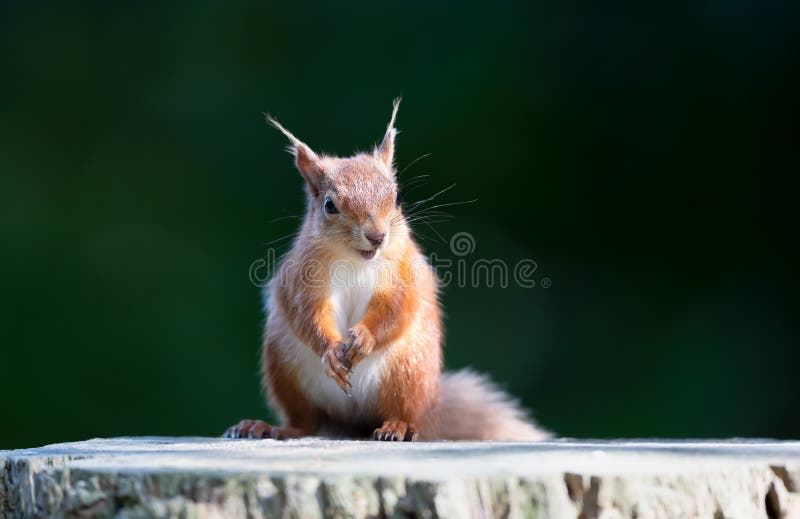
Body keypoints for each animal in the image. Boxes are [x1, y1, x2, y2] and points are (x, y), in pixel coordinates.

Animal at [225, 99, 548, 442]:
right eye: (329, 205)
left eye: (398, 197)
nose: (377, 236)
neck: (357, 261)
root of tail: (351, 423)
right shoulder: (302, 278)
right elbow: (308, 314)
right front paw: (331, 351)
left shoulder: (403, 272)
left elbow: (395, 308)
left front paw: (365, 338)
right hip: (285, 366)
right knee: (305, 422)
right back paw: (269, 427)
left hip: (408, 370)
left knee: (404, 412)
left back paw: (398, 427)